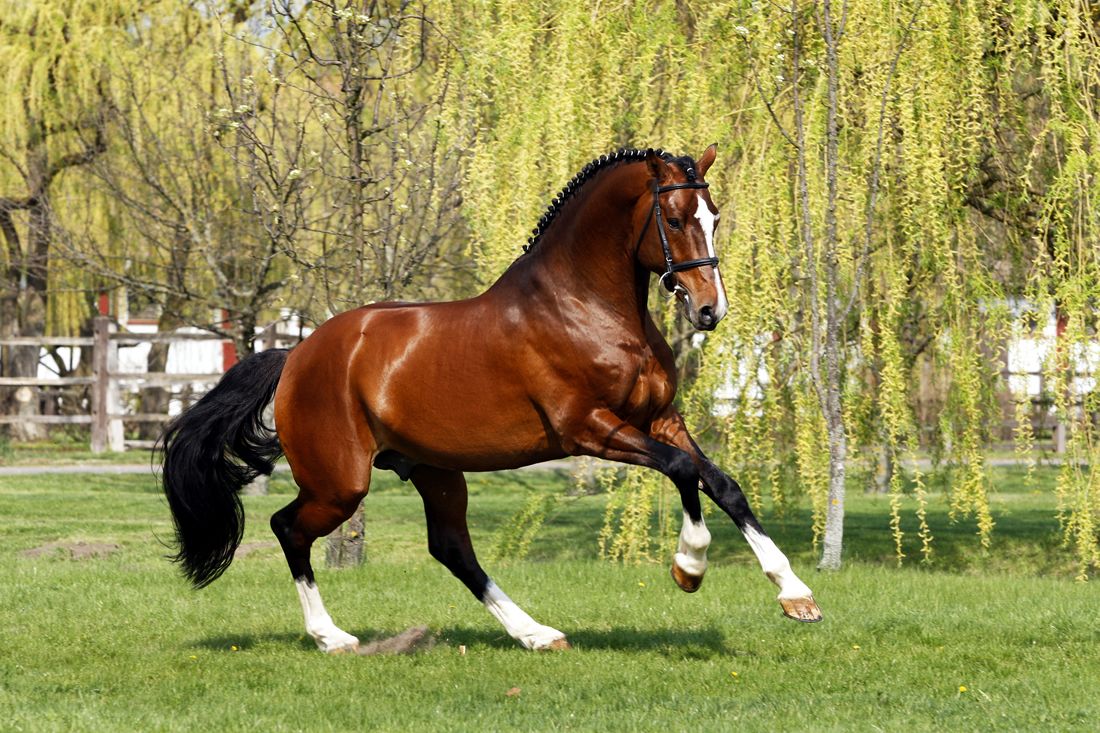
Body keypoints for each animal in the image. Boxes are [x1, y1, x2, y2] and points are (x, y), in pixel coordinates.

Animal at [160, 145, 822, 654]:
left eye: (715, 215)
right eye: (678, 217)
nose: (711, 310)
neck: (586, 308)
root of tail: (297, 354)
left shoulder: (659, 418)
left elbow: (723, 483)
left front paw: (796, 595)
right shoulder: (591, 429)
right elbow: (685, 472)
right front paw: (690, 569)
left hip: (433, 470)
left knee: (452, 550)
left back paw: (536, 634)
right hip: (340, 482)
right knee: (288, 528)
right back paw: (333, 637)